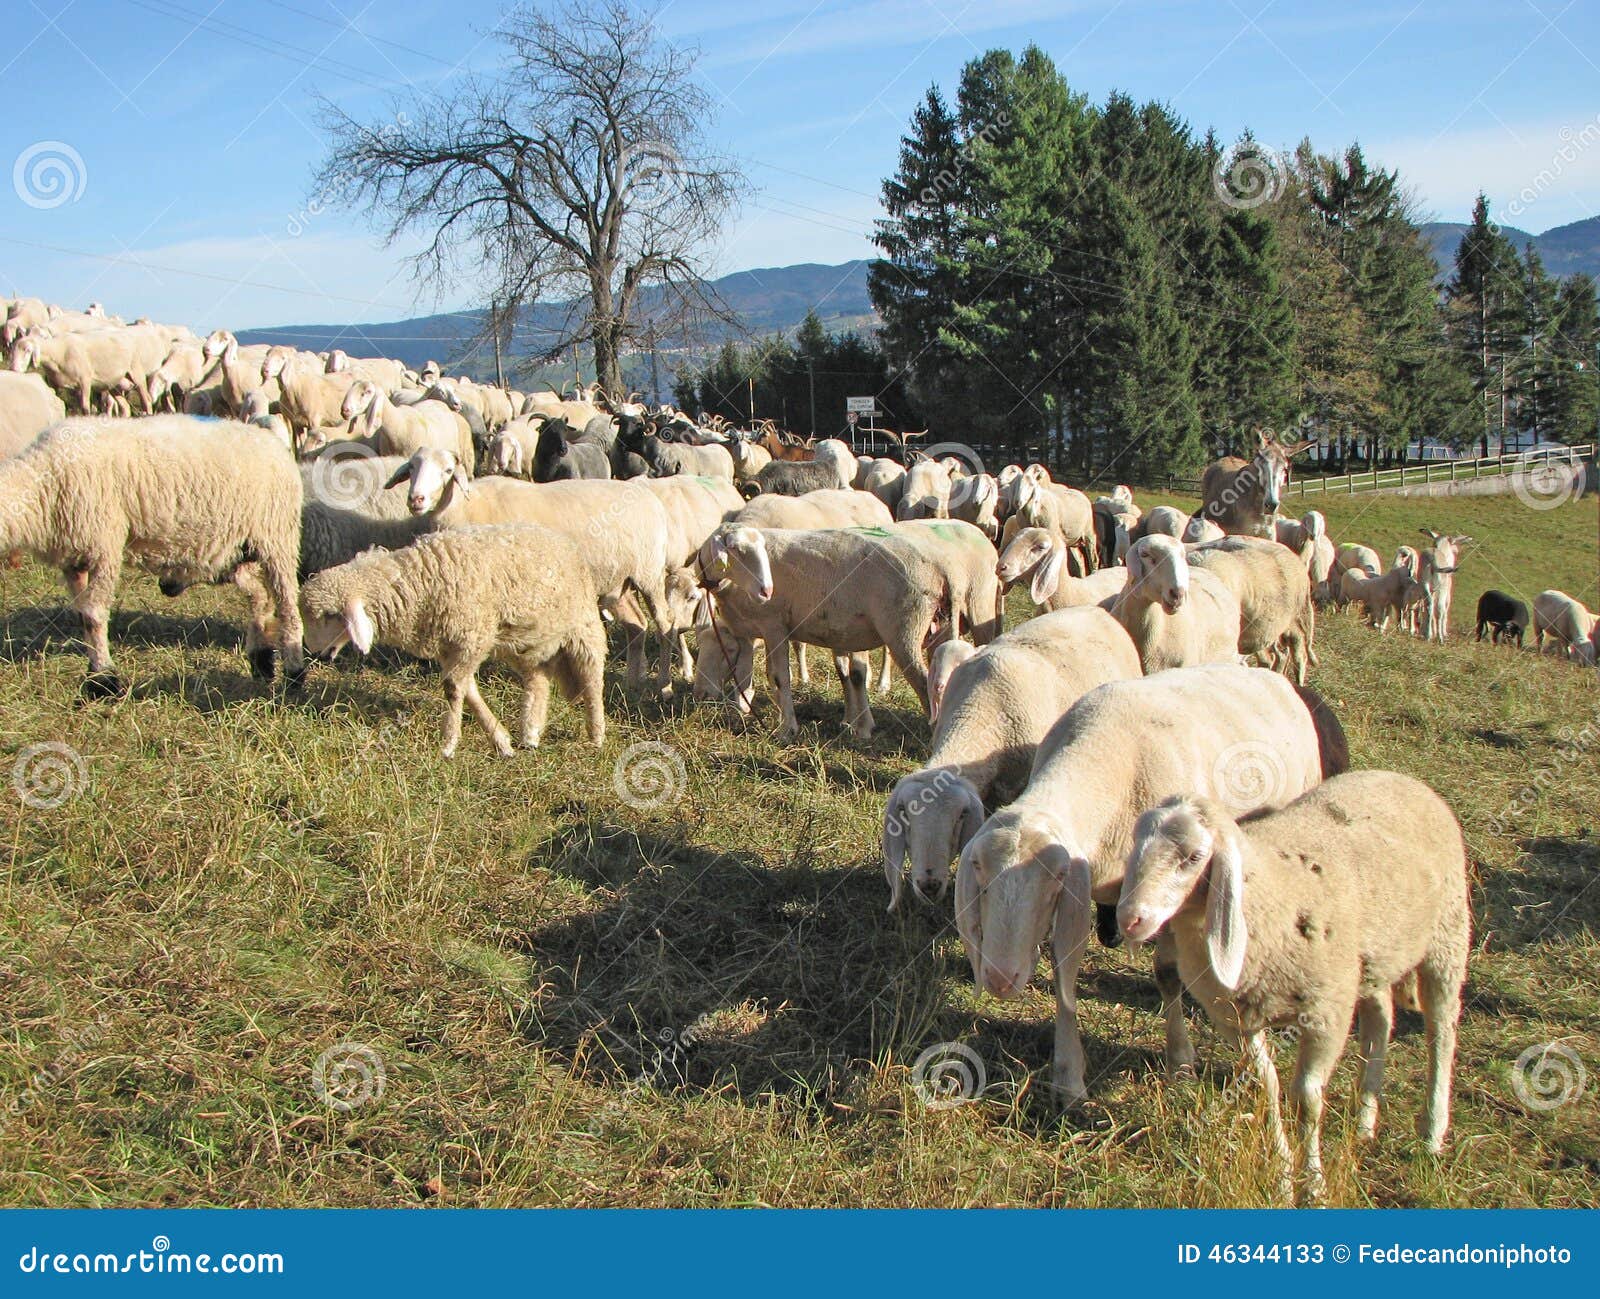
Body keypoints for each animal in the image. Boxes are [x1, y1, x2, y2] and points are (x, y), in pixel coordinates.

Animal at [0, 415, 304, 693]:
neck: (39, 484)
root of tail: (269, 438)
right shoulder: (75, 558)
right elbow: (81, 615)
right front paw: (96, 672)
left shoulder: (104, 547)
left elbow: (93, 615)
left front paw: (105, 681)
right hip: (234, 553)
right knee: (259, 596)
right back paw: (261, 659)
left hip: (277, 537)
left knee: (287, 605)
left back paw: (294, 672)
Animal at [301, 525, 606, 757]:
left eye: (330, 615)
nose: (316, 654)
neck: (420, 582)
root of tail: (561, 539)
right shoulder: (451, 647)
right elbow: (467, 688)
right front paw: (501, 740)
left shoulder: (471, 638)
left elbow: (453, 688)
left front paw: (448, 744)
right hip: (526, 640)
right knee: (538, 680)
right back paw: (530, 732)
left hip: (583, 626)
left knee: (592, 677)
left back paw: (596, 733)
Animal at [953, 663, 1333, 1102]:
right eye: (979, 874)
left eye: (1055, 883)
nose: (1000, 980)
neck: (1102, 764)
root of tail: (1269, 676)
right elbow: (1065, 974)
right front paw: (1069, 1076)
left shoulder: (1162, 898)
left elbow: (1166, 973)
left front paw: (1180, 1060)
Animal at [1118, 770, 1469, 1197]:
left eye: (1194, 858)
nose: (1130, 919)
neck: (1268, 895)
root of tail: (1401, 777)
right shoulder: (1237, 1020)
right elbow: (1265, 1086)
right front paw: (1284, 1172)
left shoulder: (1326, 1013)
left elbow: (1307, 1097)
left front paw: (1313, 1182)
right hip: (1370, 962)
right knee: (1380, 1018)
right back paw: (1365, 1120)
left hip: (1447, 935)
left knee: (1441, 1033)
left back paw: (1432, 1133)